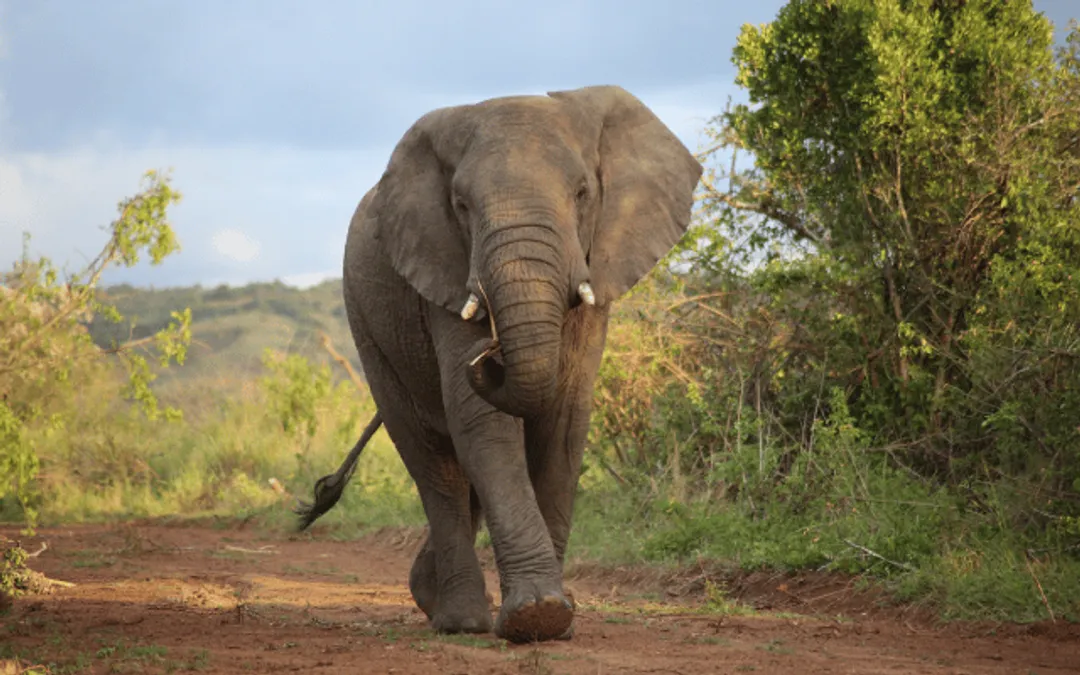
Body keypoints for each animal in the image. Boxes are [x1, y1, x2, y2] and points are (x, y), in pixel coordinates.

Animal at [295, 84, 703, 643]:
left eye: (582, 193)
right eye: (461, 205)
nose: (490, 353)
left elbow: (564, 421)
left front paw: (554, 619)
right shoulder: (443, 266)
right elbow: (484, 424)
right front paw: (537, 615)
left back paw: (438, 596)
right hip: (367, 327)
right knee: (433, 464)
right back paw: (461, 620)